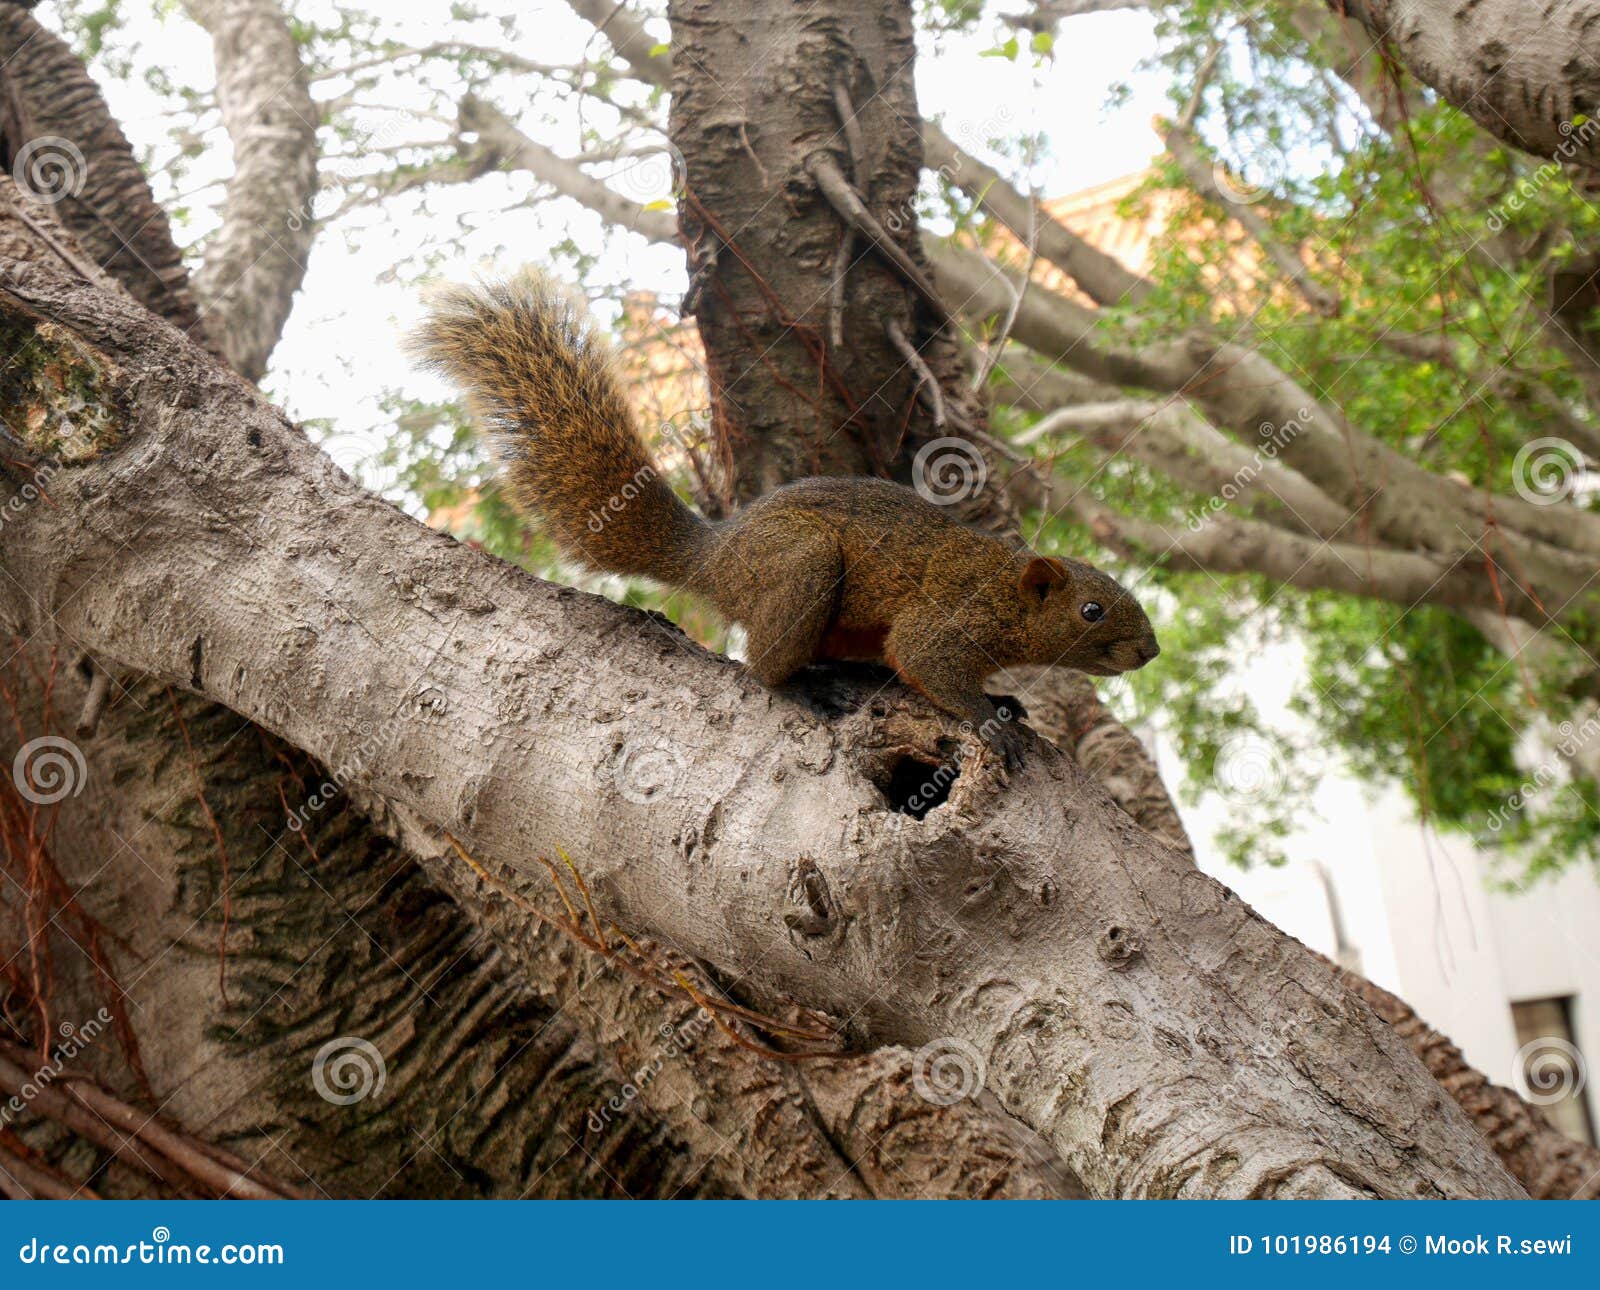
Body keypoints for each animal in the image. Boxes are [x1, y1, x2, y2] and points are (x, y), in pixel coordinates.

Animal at [410, 277, 1160, 770]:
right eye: (1092, 610)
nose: (1149, 651)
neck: (1005, 589)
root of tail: (714, 556)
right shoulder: (948, 614)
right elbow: (923, 658)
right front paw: (988, 719)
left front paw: (1006, 701)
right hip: (801, 562)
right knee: (763, 666)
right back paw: (806, 686)